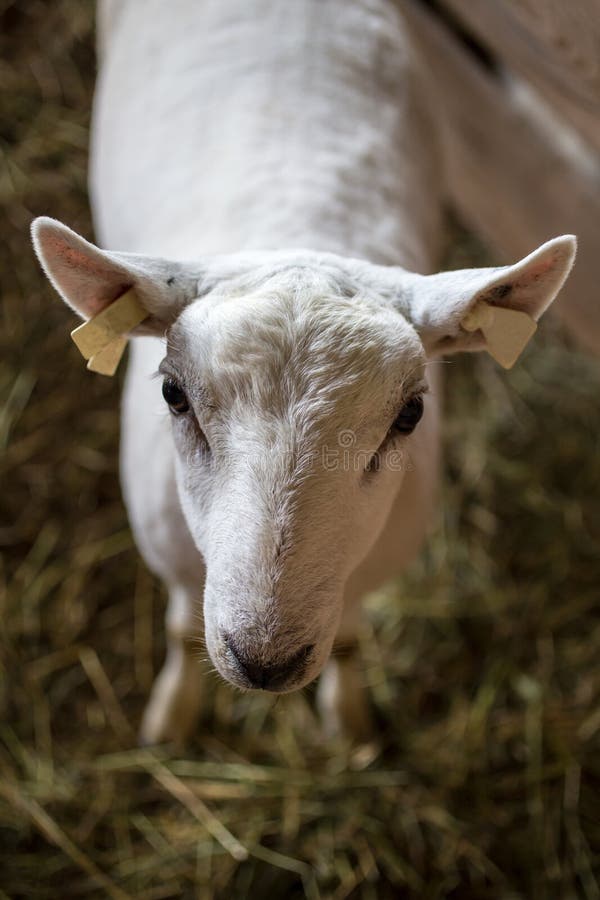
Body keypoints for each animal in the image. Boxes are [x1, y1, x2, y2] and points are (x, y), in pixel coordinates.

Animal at [31, 0, 576, 745]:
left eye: (411, 414)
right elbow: (175, 632)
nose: (265, 662)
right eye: (173, 394)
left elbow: (347, 643)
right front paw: (169, 719)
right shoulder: (170, 556)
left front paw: (349, 726)